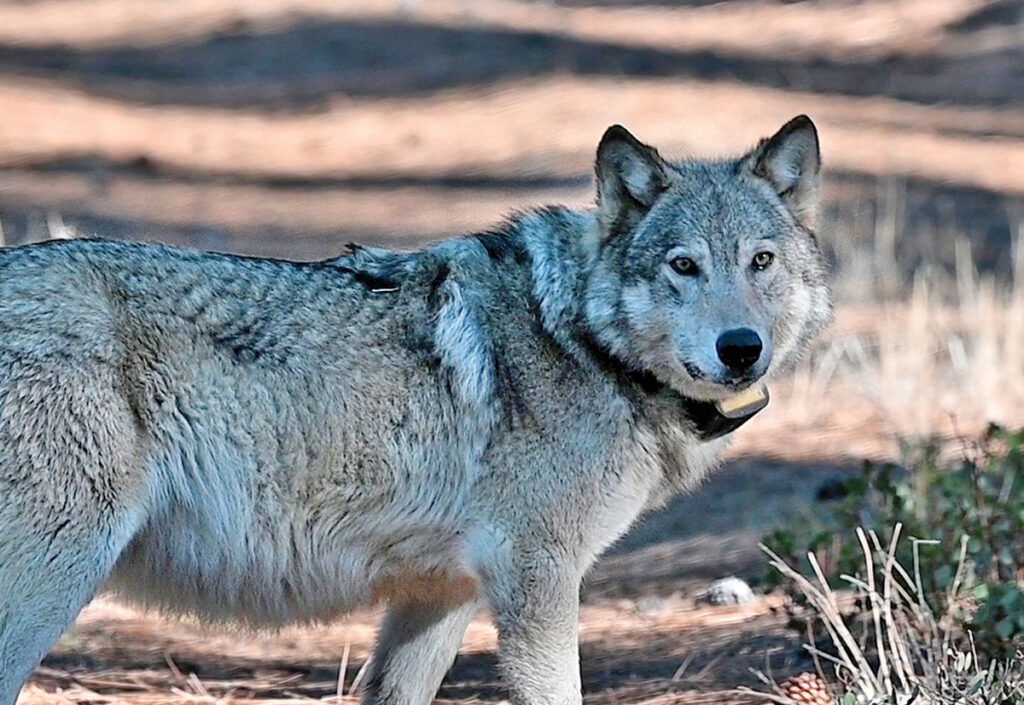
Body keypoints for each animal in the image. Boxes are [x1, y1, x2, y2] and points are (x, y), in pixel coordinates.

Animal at [0, 116, 830, 705]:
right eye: (683, 266)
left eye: (760, 261)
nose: (741, 348)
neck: (580, 338)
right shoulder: (538, 577)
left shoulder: (439, 593)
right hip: (54, 578)